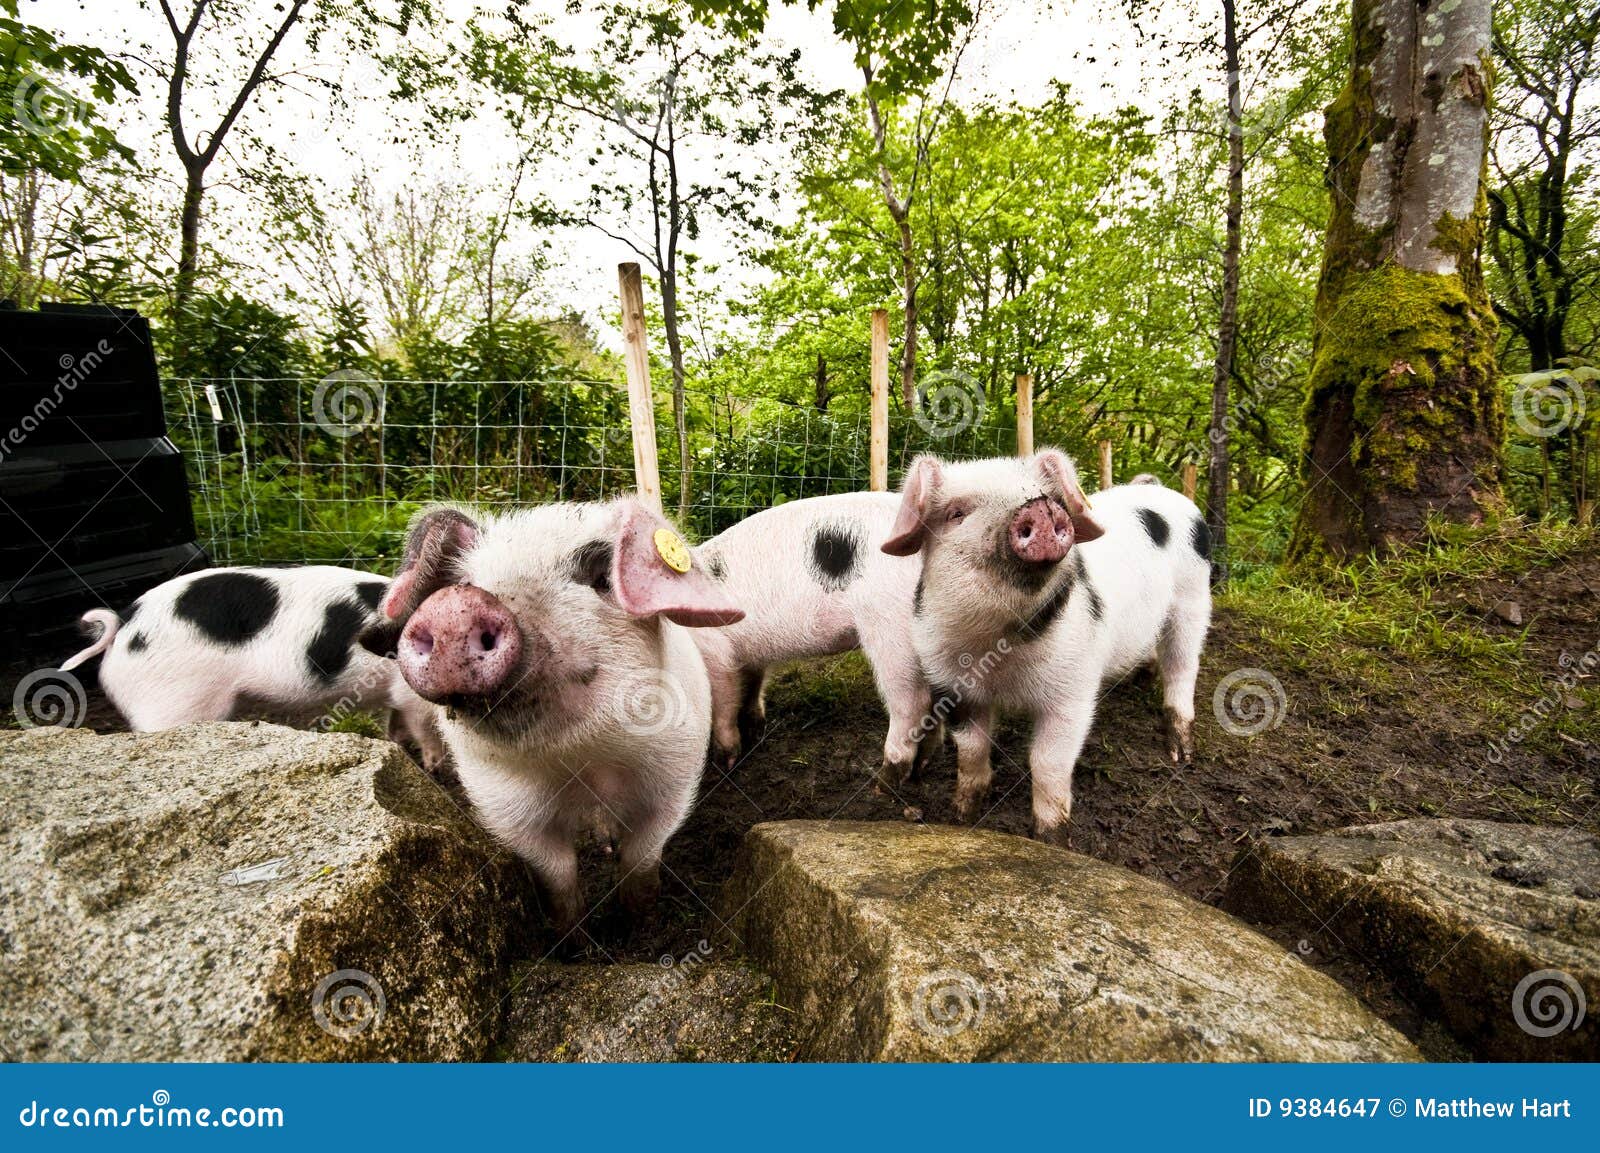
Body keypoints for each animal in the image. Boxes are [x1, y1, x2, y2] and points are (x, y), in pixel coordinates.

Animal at [58, 565, 446, 769]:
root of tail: (124, 625)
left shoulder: (395, 696)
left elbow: (396, 725)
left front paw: (403, 752)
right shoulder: (414, 699)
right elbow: (425, 730)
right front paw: (434, 765)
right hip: (170, 704)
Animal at [359, 498, 743, 936]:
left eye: (601, 577)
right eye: (465, 581)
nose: (453, 606)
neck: (585, 764)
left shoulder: (674, 774)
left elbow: (642, 855)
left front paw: (638, 920)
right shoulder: (503, 804)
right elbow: (555, 871)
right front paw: (570, 933)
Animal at [689, 492, 932, 785]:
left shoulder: (715, 653)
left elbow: (723, 705)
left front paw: (722, 767)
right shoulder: (747, 654)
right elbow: (752, 687)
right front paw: (755, 730)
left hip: (891, 624)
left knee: (912, 700)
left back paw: (886, 779)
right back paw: (923, 766)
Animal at [882, 449, 1212, 844]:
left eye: (1047, 497)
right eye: (956, 513)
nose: (1039, 506)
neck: (997, 649)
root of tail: (1162, 491)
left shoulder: (1074, 688)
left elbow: (1048, 761)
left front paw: (1051, 838)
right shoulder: (952, 683)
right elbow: (971, 749)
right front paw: (963, 814)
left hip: (1194, 596)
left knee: (1182, 666)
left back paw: (1181, 755)